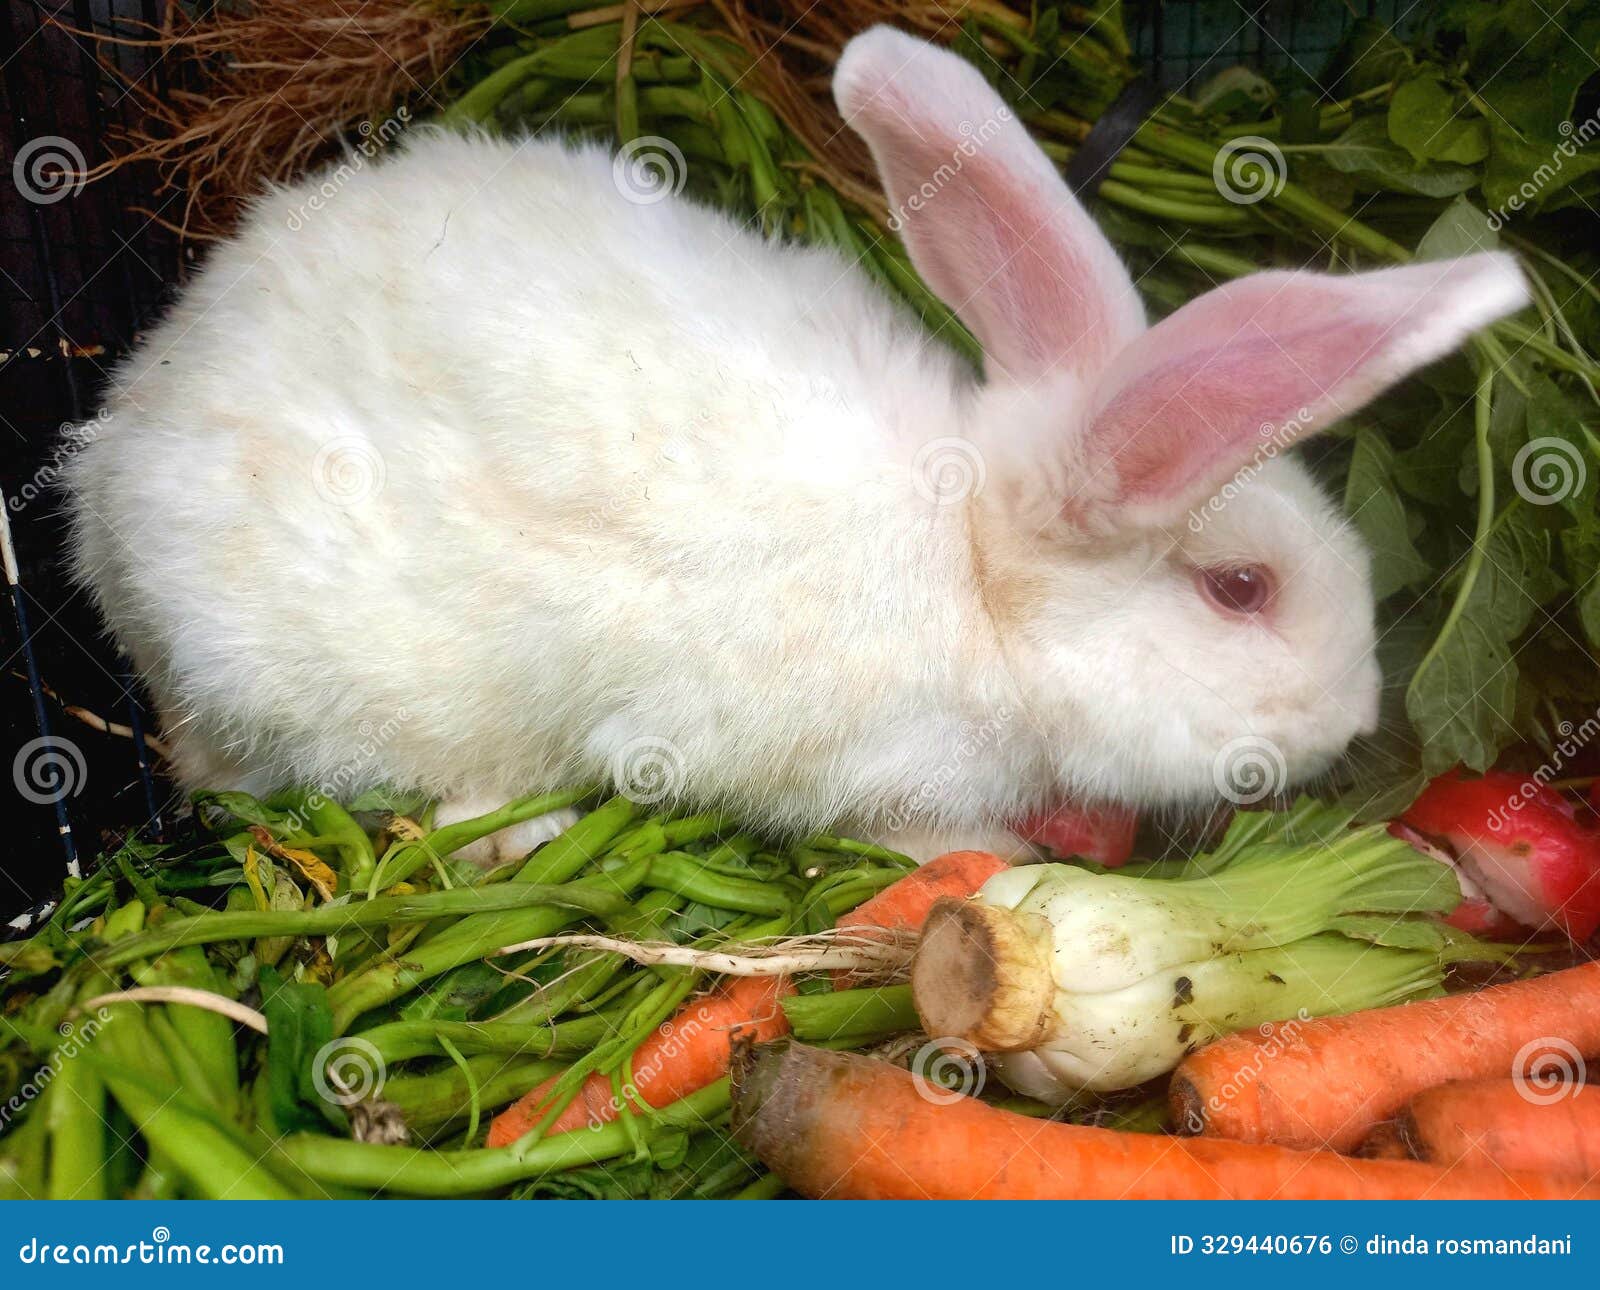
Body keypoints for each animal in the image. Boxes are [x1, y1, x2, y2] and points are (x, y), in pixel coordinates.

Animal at [63, 26, 1528, 866]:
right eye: (1238, 590)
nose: (1356, 715)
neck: (973, 572)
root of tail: (105, 485)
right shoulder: (879, 770)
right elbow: (932, 835)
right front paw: (1007, 859)